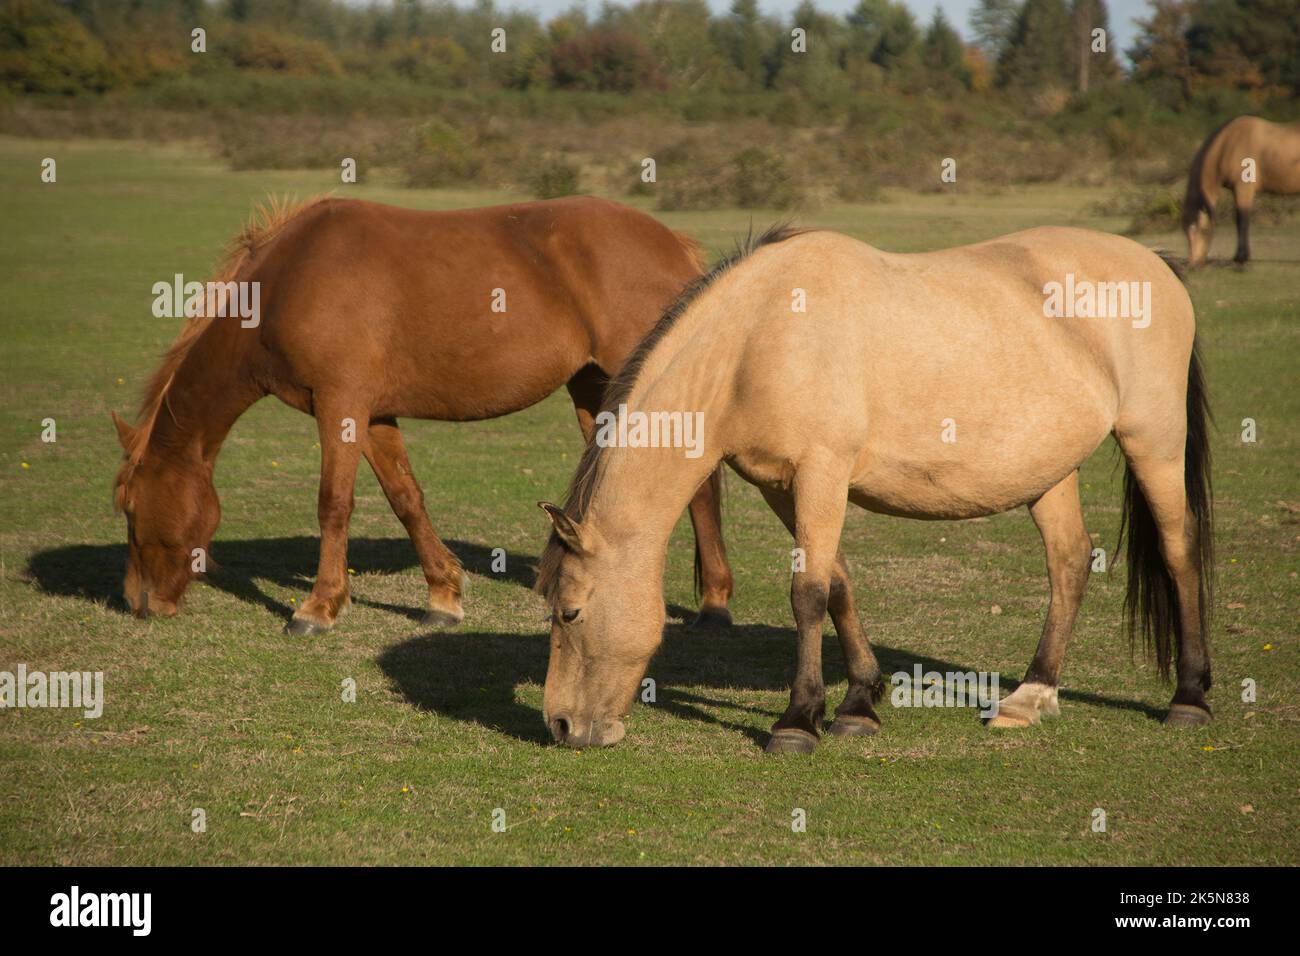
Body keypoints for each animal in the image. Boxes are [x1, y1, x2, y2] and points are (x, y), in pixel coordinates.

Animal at [112, 195, 734, 635]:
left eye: (133, 512)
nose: (137, 605)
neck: (290, 277)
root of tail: (672, 243)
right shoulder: (372, 415)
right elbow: (405, 498)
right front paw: (443, 597)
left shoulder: (338, 405)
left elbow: (333, 505)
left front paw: (317, 609)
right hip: (593, 386)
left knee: (699, 490)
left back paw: (715, 603)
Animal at [535, 224, 1213, 752]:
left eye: (570, 612)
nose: (562, 726)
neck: (759, 336)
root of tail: (1158, 266)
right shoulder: (784, 486)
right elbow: (836, 581)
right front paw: (859, 702)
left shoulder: (822, 472)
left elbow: (807, 593)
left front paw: (797, 722)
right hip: (1051, 472)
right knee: (1069, 562)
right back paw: (1030, 695)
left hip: (1153, 440)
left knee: (1179, 550)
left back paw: (1189, 698)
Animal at [1183, 115, 1300, 267]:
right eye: (1185, 230)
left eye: (1202, 230)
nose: (1194, 263)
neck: (1227, 144)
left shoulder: (1243, 189)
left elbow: (1242, 221)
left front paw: (1241, 257)